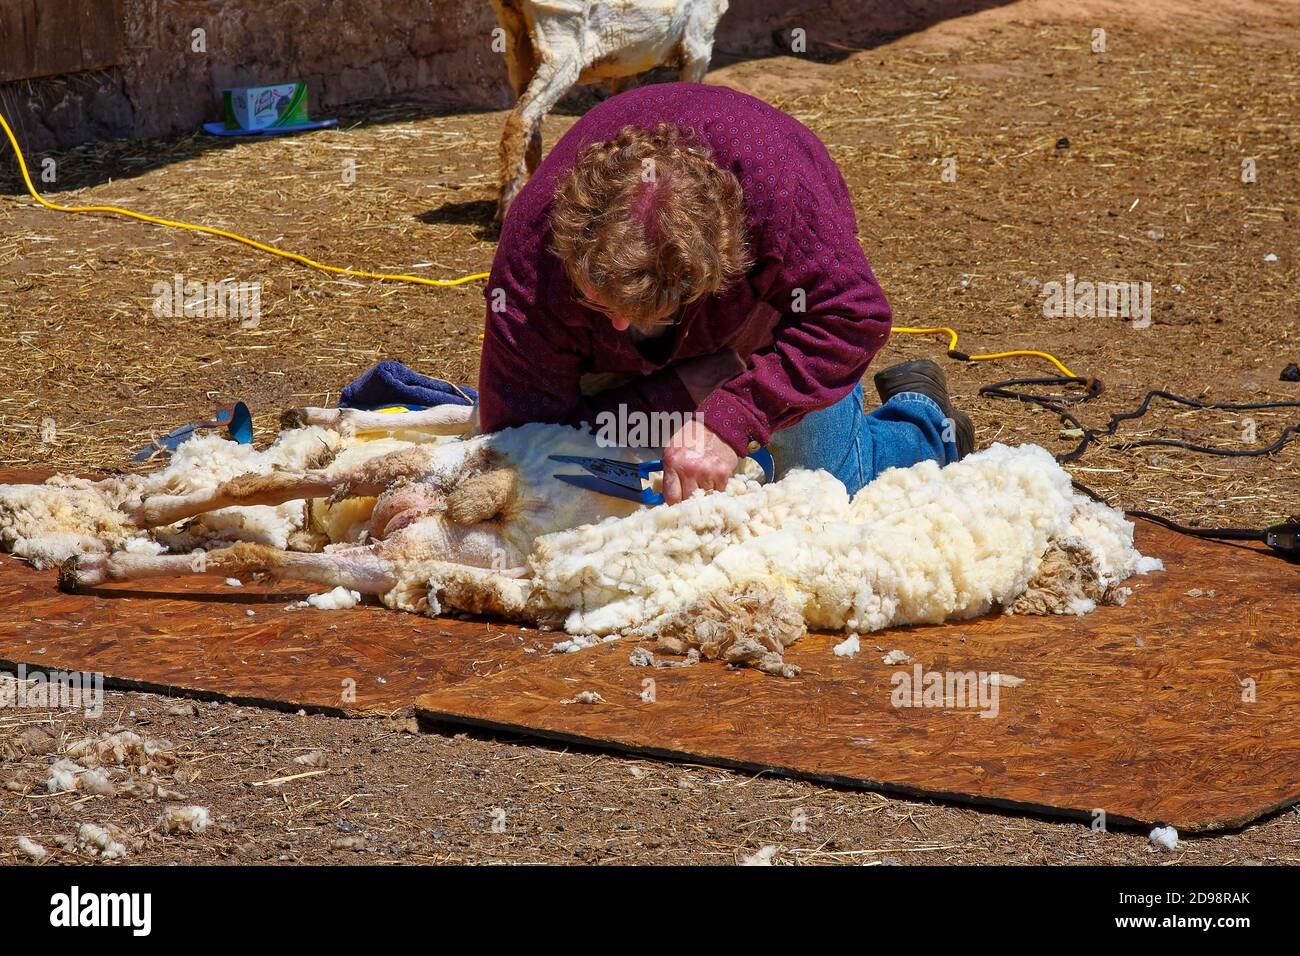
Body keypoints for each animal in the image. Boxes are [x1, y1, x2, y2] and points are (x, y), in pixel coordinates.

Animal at [490, 0, 730, 218]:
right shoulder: (698, 43)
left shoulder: (627, 62)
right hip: (561, 40)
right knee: (522, 117)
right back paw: (507, 209)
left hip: (515, 43)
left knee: (530, 122)